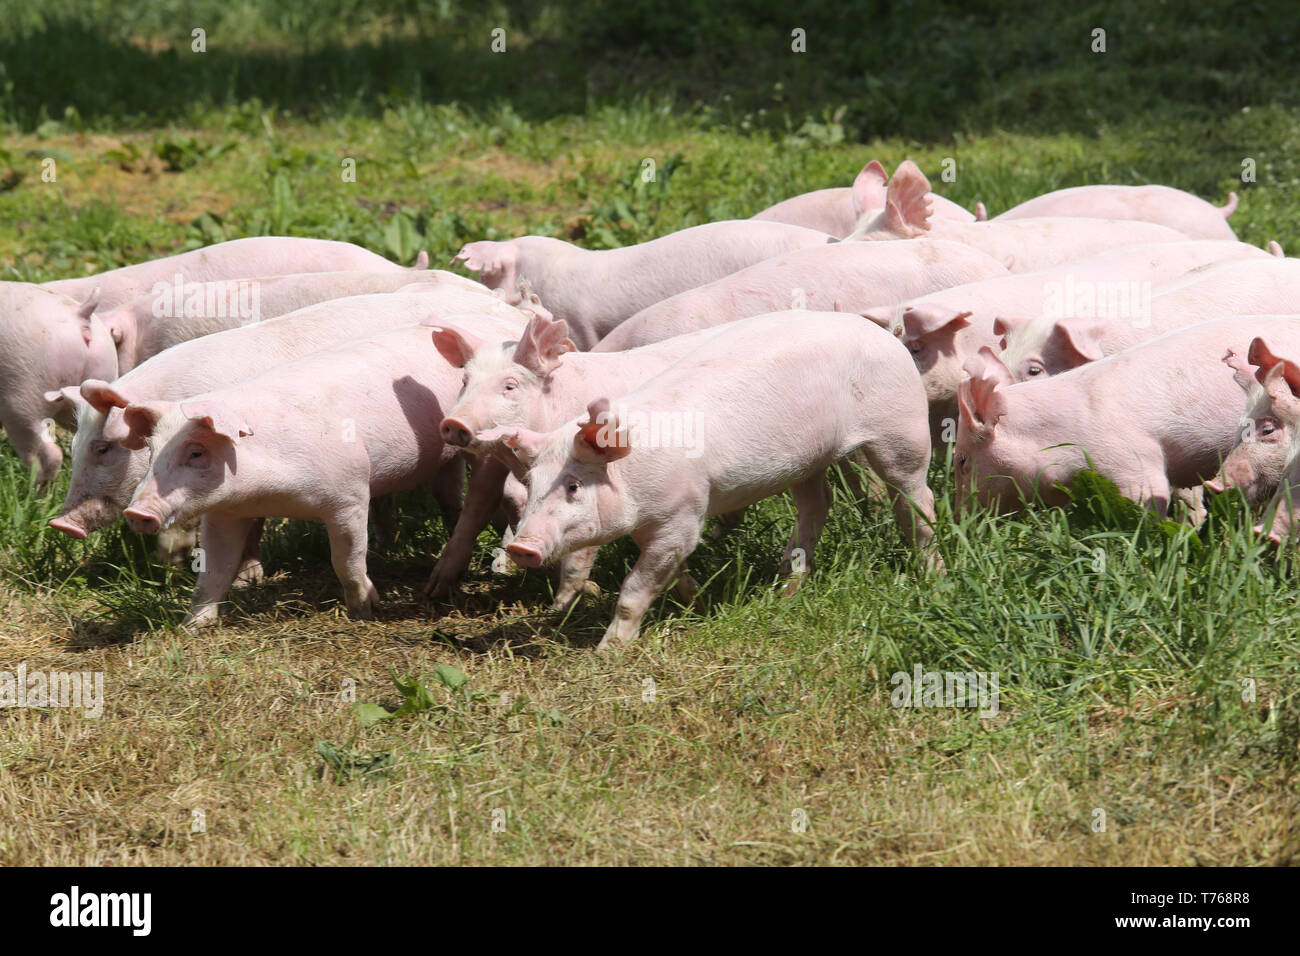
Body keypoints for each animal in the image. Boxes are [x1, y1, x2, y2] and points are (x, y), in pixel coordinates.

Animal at [117, 316, 523, 628]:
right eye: (152, 452)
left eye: (197, 452)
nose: (135, 512)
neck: (268, 494)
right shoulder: (224, 513)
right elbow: (213, 572)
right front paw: (192, 628)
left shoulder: (349, 495)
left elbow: (346, 559)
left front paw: (365, 610)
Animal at [428, 313, 738, 605]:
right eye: (465, 381)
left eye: (510, 386)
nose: (454, 422)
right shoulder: (498, 461)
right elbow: (477, 507)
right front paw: (435, 589)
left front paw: (577, 596)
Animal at [474, 310, 937, 650]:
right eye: (532, 485)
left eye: (573, 486)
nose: (520, 547)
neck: (633, 474)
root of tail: (884, 334)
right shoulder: (657, 524)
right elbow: (670, 570)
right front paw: (698, 600)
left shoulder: (684, 513)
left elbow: (634, 588)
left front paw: (608, 652)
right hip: (807, 459)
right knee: (817, 503)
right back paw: (785, 588)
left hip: (902, 428)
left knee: (916, 498)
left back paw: (931, 573)